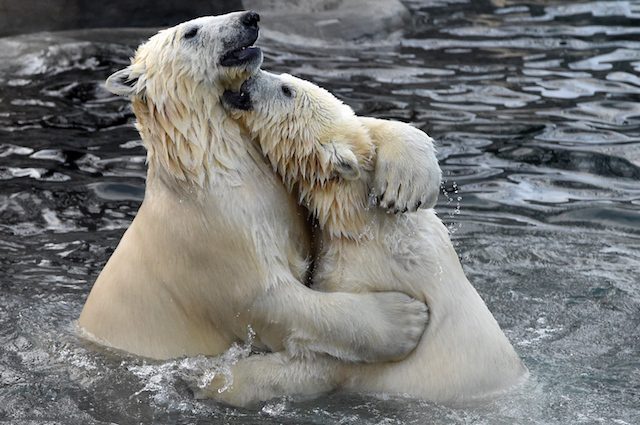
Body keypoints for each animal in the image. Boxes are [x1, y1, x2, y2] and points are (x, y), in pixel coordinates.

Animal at [78, 12, 438, 364]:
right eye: (191, 31)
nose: (250, 17)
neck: (211, 171)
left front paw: (406, 182)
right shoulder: (213, 245)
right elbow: (274, 301)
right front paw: (404, 318)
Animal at [209, 70, 529, 407]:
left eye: (287, 89)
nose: (249, 77)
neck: (362, 221)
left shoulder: (365, 273)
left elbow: (323, 359)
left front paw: (212, 380)